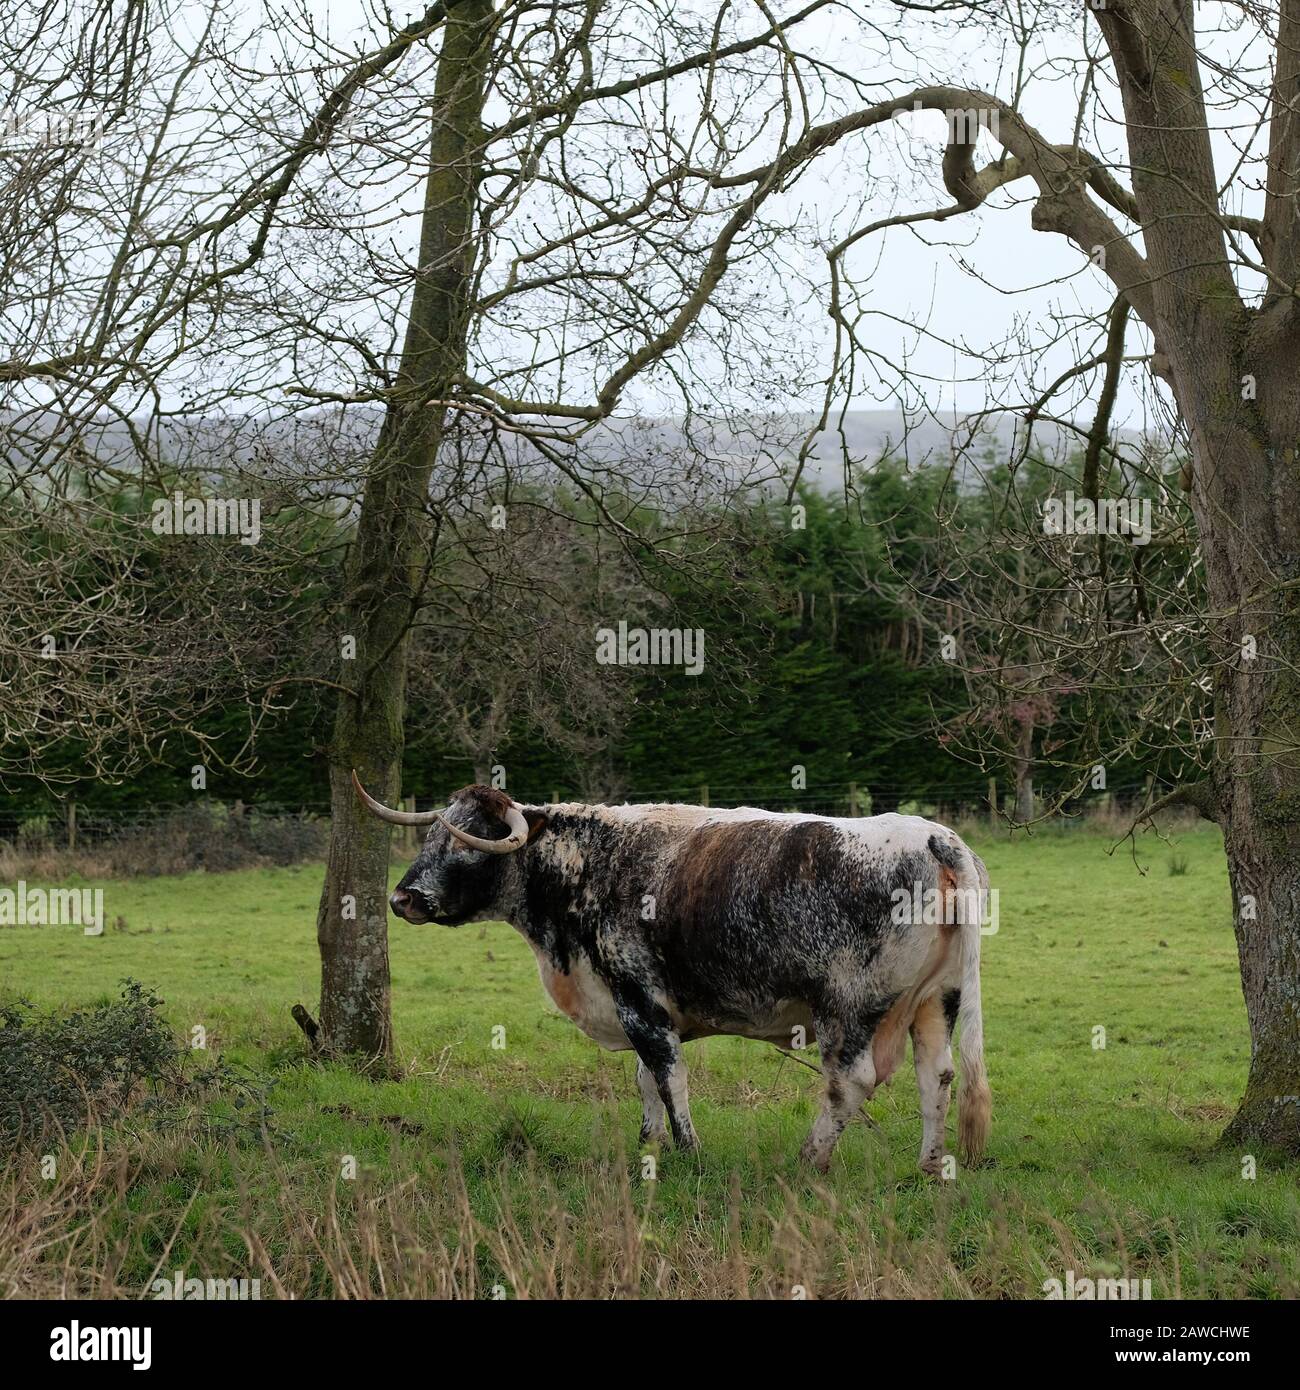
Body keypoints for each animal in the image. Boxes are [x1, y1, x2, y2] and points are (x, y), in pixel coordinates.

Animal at [353, 774, 991, 1174]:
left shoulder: (639, 999)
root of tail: (933, 836)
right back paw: (927, 1166)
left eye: (470, 842)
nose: (403, 898)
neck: (592, 862)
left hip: (851, 1006)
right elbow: (644, 1081)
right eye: (432, 833)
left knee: (850, 1082)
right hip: (936, 999)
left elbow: (667, 1077)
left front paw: (688, 1150)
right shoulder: (635, 1005)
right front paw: (650, 1143)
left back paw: (809, 1160)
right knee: (936, 1075)